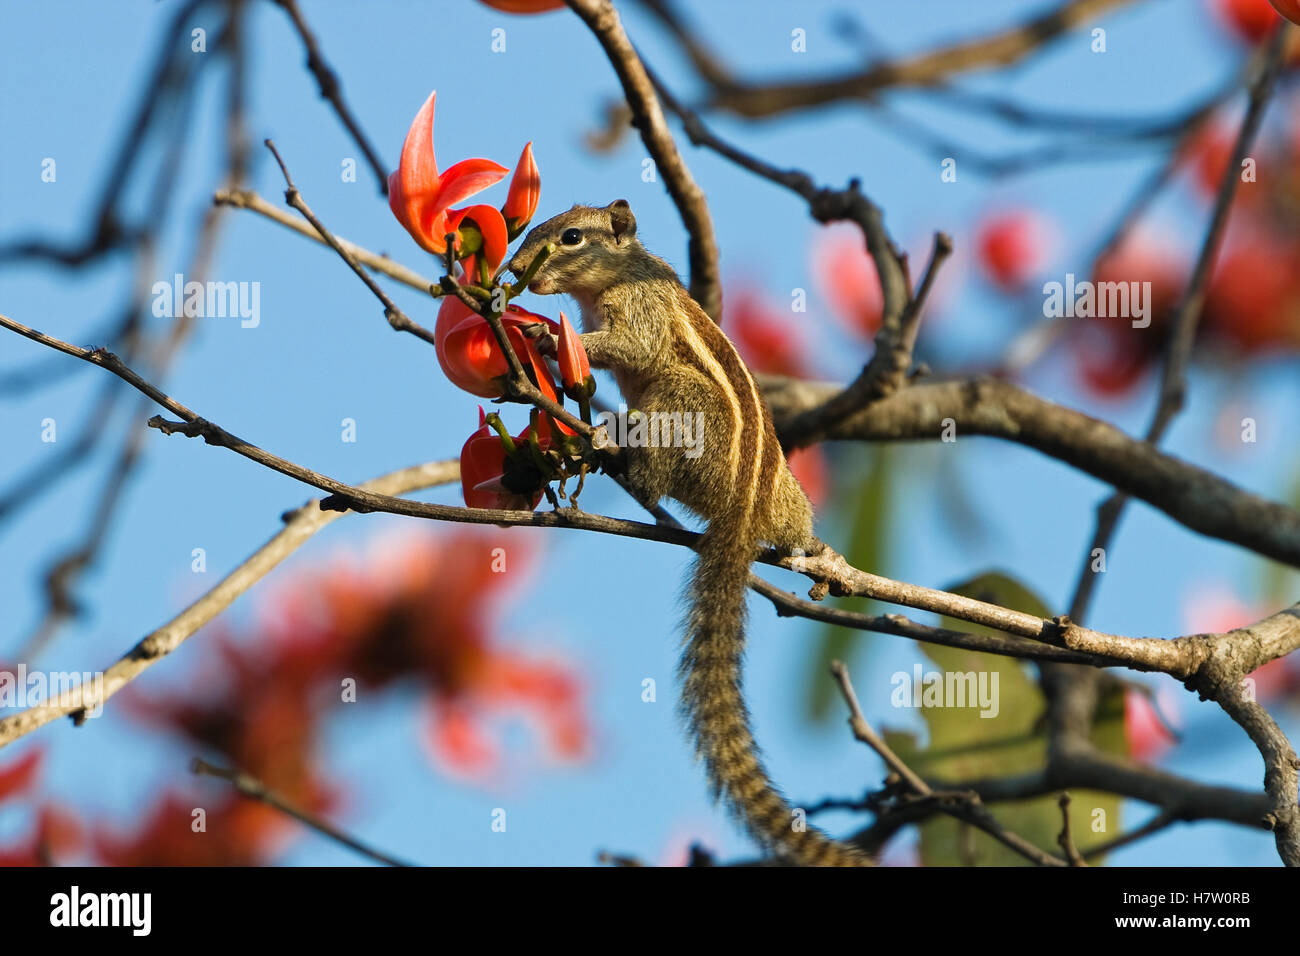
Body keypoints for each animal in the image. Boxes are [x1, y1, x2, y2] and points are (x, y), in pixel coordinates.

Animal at [507, 200, 869, 866]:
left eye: (571, 236)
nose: (517, 272)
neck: (623, 272)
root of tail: (743, 510)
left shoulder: (641, 315)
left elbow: (626, 346)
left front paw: (546, 337)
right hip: (787, 499)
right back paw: (816, 554)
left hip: (680, 404)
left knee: (654, 482)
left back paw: (618, 453)